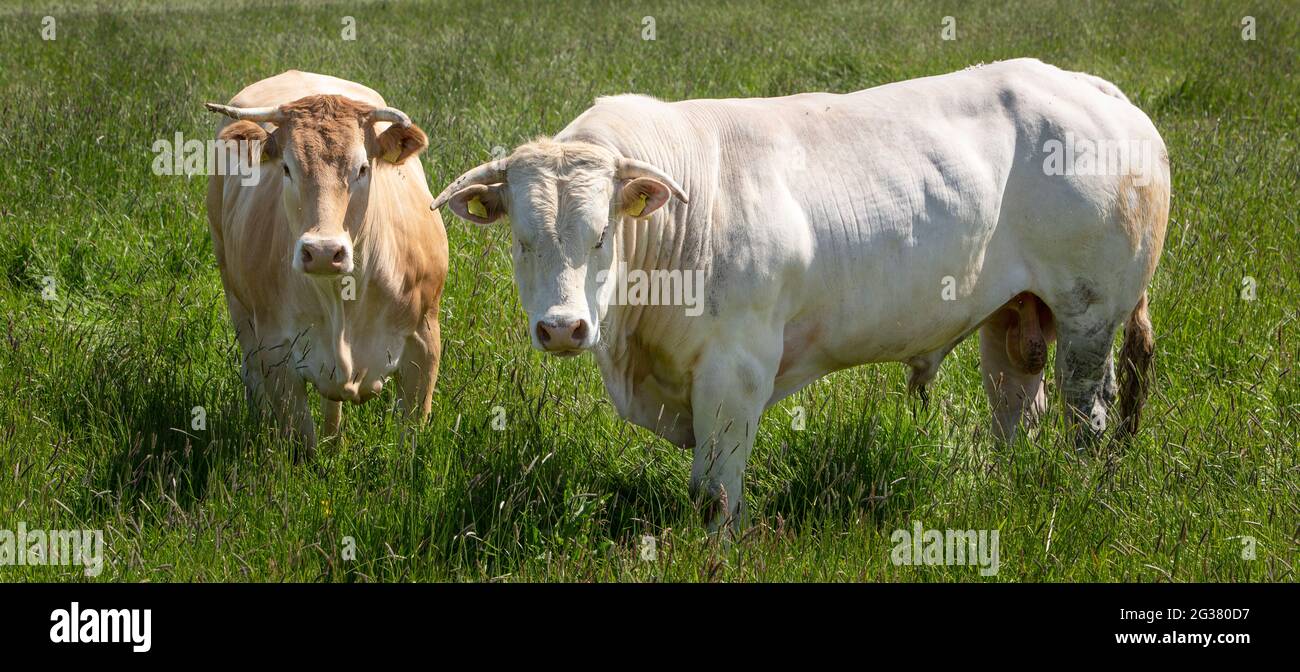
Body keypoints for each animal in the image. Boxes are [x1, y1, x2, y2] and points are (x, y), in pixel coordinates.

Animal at [205, 70, 447, 457]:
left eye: (362, 168)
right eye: (286, 168)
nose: (322, 251)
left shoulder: (425, 343)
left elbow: (409, 439)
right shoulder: (277, 354)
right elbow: (300, 442)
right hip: (235, 296)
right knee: (252, 371)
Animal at [432, 58, 1169, 531]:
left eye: (601, 236)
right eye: (522, 239)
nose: (563, 328)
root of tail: (1091, 87)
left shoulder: (736, 373)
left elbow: (714, 496)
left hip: (1090, 314)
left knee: (1086, 413)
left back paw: (1078, 489)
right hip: (1014, 316)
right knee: (1019, 404)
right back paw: (1005, 486)